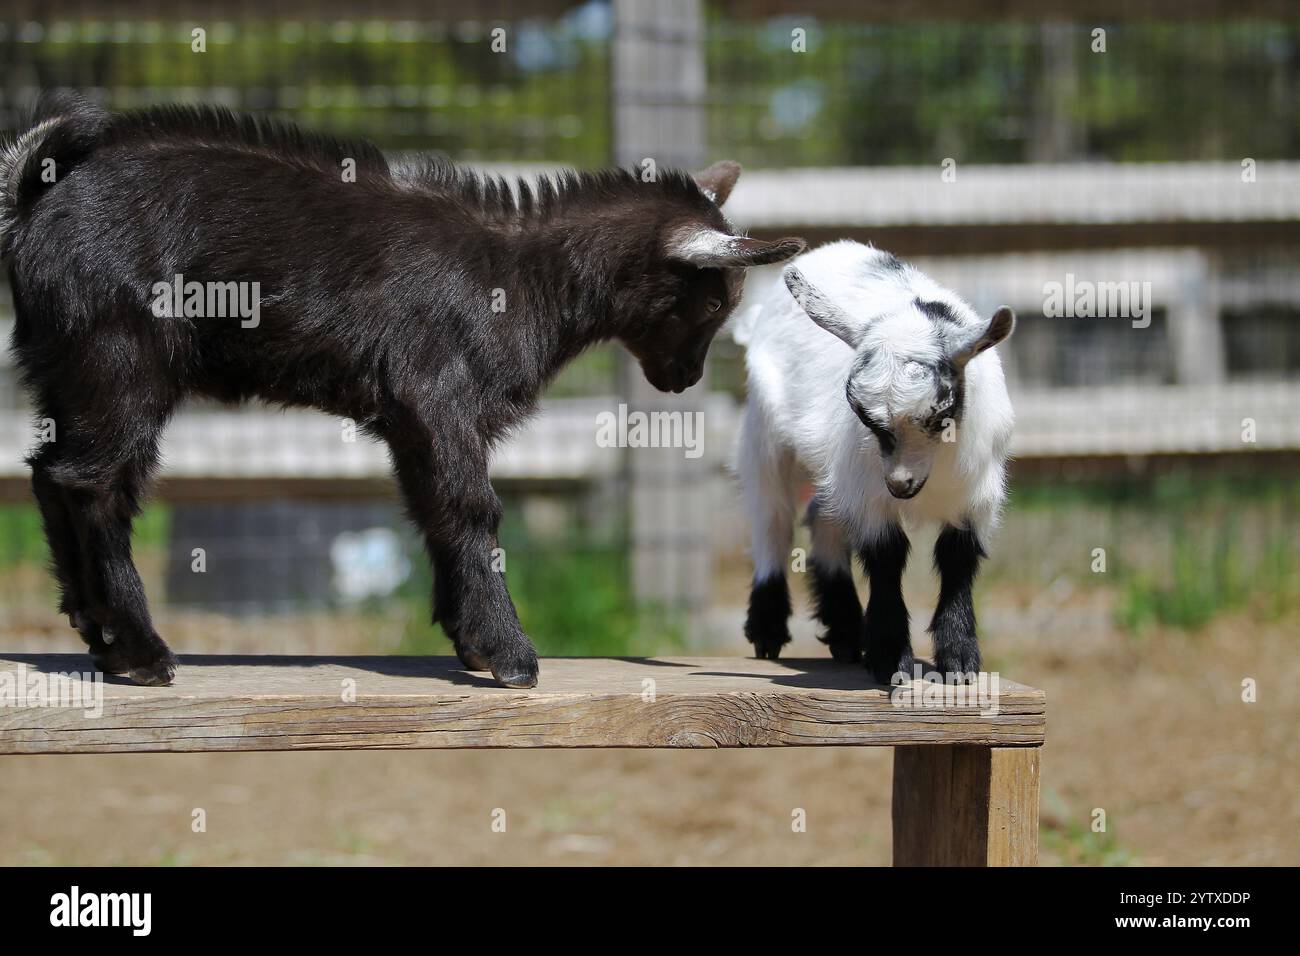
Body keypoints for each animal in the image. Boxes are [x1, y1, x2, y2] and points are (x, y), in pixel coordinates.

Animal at [0, 93, 805, 688]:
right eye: (713, 300)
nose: (684, 379)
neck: (524, 276)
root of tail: (37, 199)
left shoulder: (412, 420)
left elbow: (434, 512)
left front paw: (470, 641)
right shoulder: (439, 398)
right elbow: (472, 510)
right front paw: (511, 656)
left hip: (63, 366)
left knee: (50, 472)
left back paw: (99, 636)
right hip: (120, 357)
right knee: (95, 482)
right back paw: (142, 651)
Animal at [732, 240, 1015, 683]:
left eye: (939, 414)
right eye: (864, 416)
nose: (900, 485)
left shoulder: (976, 495)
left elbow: (957, 559)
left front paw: (960, 659)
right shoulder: (870, 493)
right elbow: (887, 556)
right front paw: (890, 657)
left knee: (822, 518)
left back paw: (845, 633)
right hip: (767, 436)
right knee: (772, 519)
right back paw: (769, 629)